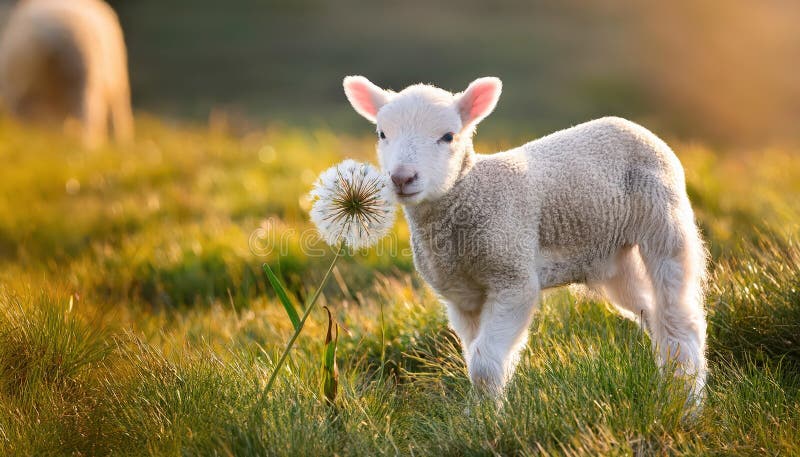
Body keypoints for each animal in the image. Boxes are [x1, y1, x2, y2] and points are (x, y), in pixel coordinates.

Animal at [343, 75, 708, 402]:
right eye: (382, 134)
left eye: (448, 136)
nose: (402, 177)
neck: (469, 195)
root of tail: (633, 126)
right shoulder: (461, 296)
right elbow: (476, 357)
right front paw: (485, 416)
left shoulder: (513, 277)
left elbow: (485, 365)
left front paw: (486, 419)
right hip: (613, 259)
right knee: (654, 315)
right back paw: (671, 384)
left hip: (665, 223)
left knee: (681, 318)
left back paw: (688, 402)